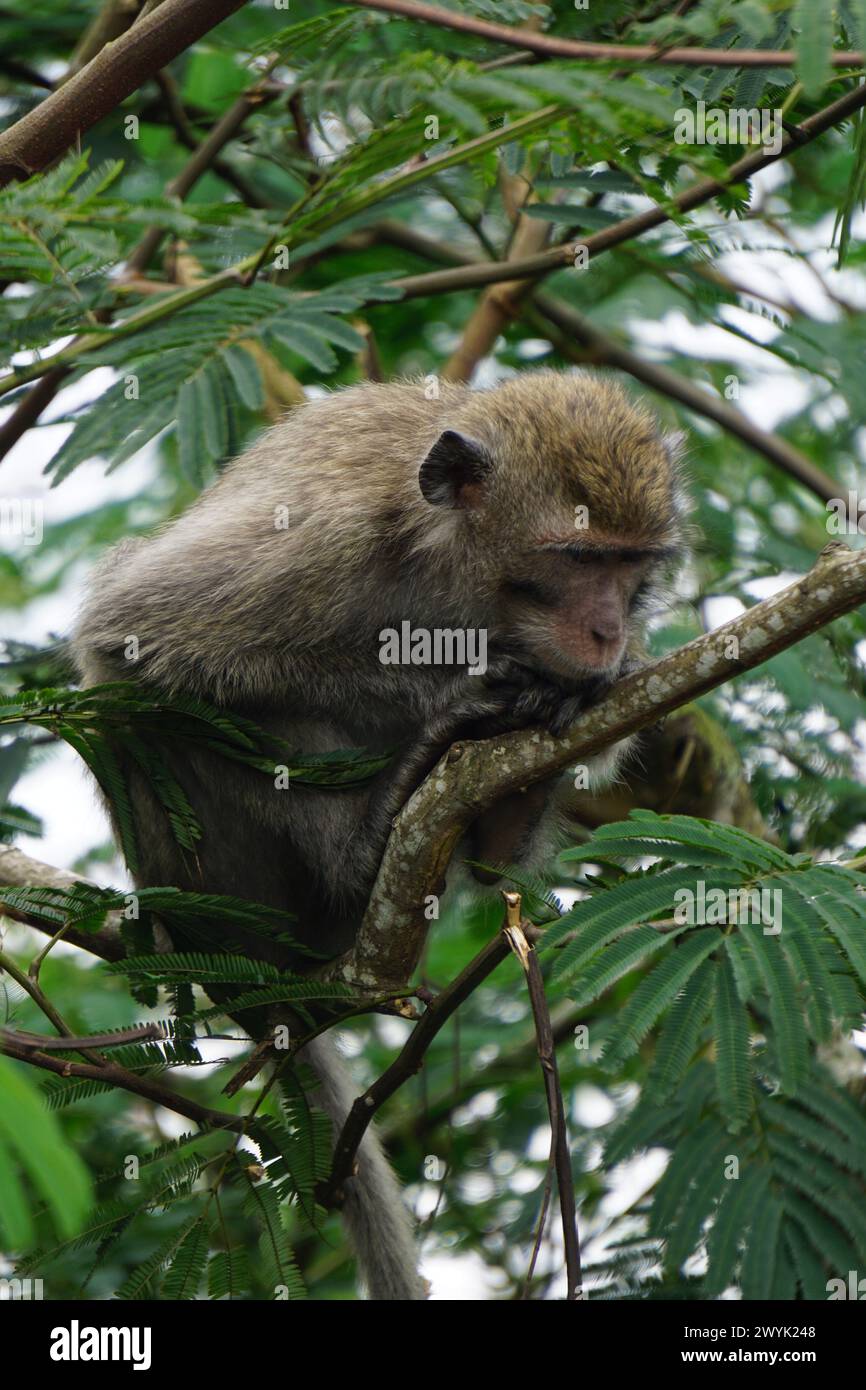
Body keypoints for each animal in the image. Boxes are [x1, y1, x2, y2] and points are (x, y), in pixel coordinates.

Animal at [72, 369, 687, 1301]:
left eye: (631, 567)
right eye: (578, 560)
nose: (608, 630)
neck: (451, 562)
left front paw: (561, 694)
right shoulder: (322, 539)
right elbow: (136, 629)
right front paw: (459, 689)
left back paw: (503, 822)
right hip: (207, 871)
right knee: (164, 704)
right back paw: (365, 844)